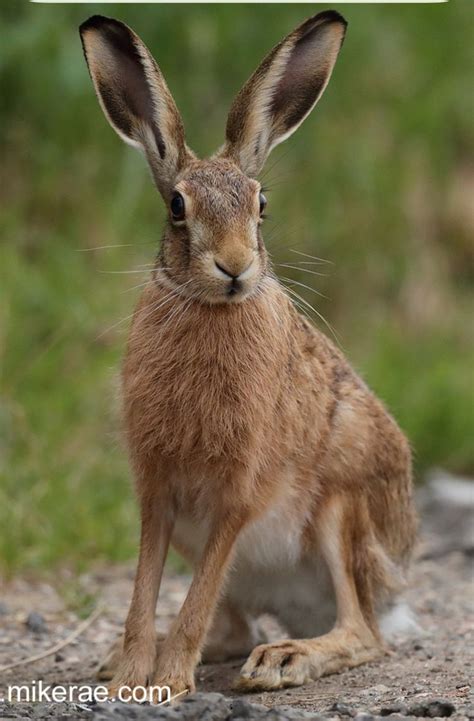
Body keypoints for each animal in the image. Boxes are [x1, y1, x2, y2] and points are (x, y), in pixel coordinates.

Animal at [80, 10, 417, 701]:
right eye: (176, 207)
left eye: (262, 206)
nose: (234, 267)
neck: (213, 311)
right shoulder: (158, 492)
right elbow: (144, 593)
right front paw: (131, 678)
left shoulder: (237, 491)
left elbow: (196, 596)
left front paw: (167, 683)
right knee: (236, 628)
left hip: (342, 511)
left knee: (363, 632)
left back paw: (285, 659)